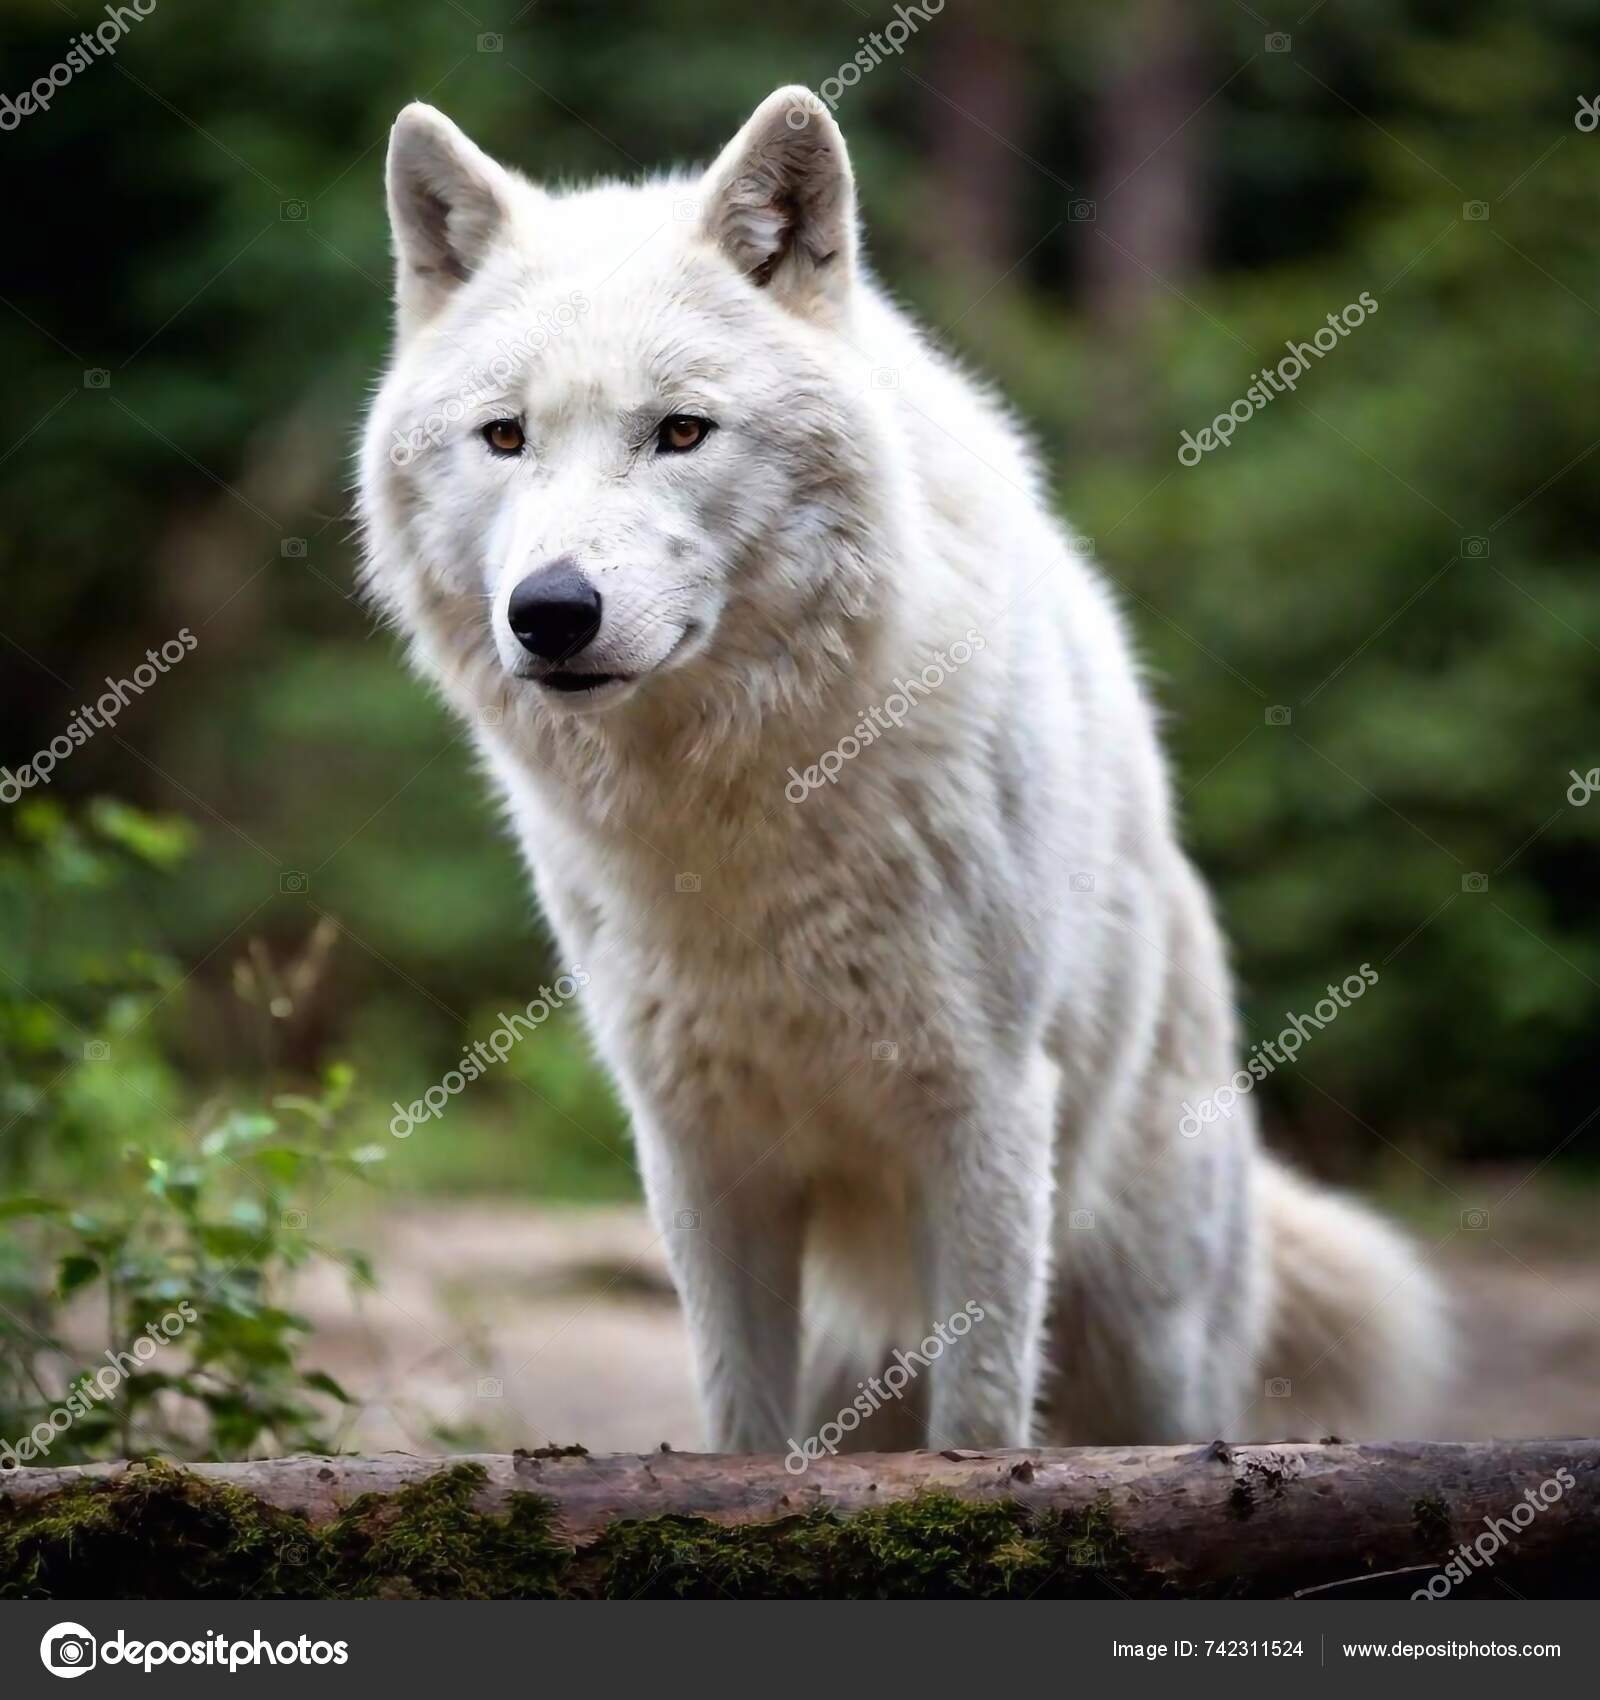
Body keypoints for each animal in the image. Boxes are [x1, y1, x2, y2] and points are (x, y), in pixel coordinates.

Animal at [359, 85, 1445, 1452]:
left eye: (679, 431)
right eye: (505, 436)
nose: (550, 612)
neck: (742, 809)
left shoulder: (984, 1112)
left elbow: (975, 1420)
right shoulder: (697, 1145)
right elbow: (740, 1425)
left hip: (1156, 1342)